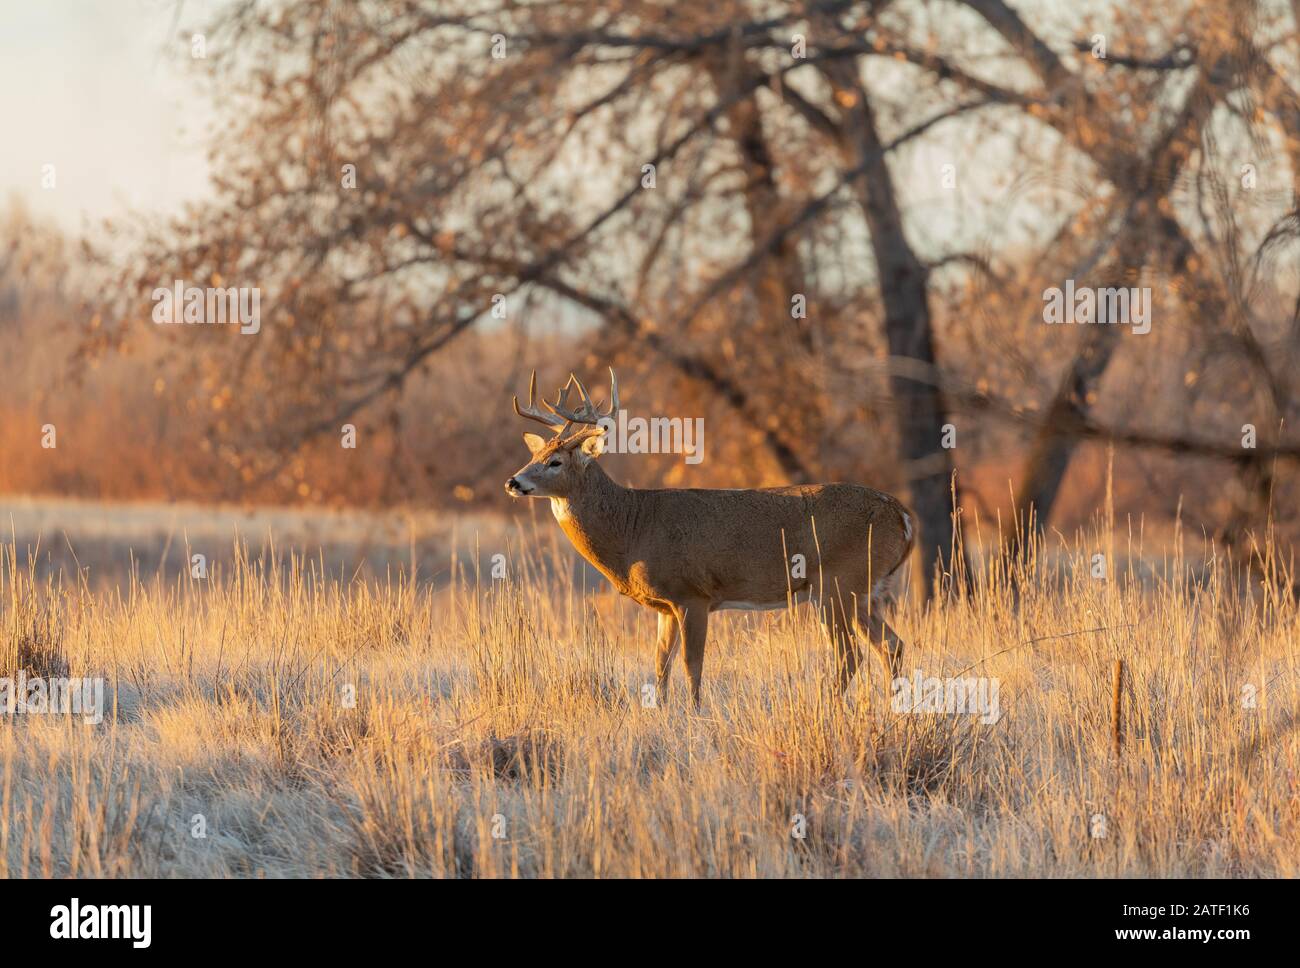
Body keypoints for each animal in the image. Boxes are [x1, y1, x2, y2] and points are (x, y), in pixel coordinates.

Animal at [504, 369, 914, 708]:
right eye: (536, 455)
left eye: (556, 462)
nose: (513, 482)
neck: (633, 528)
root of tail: (904, 516)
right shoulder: (665, 606)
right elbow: (660, 666)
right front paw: (662, 714)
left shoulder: (693, 595)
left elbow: (692, 664)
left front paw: (696, 715)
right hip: (866, 590)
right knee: (891, 646)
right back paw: (894, 711)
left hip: (837, 583)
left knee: (850, 654)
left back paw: (827, 707)